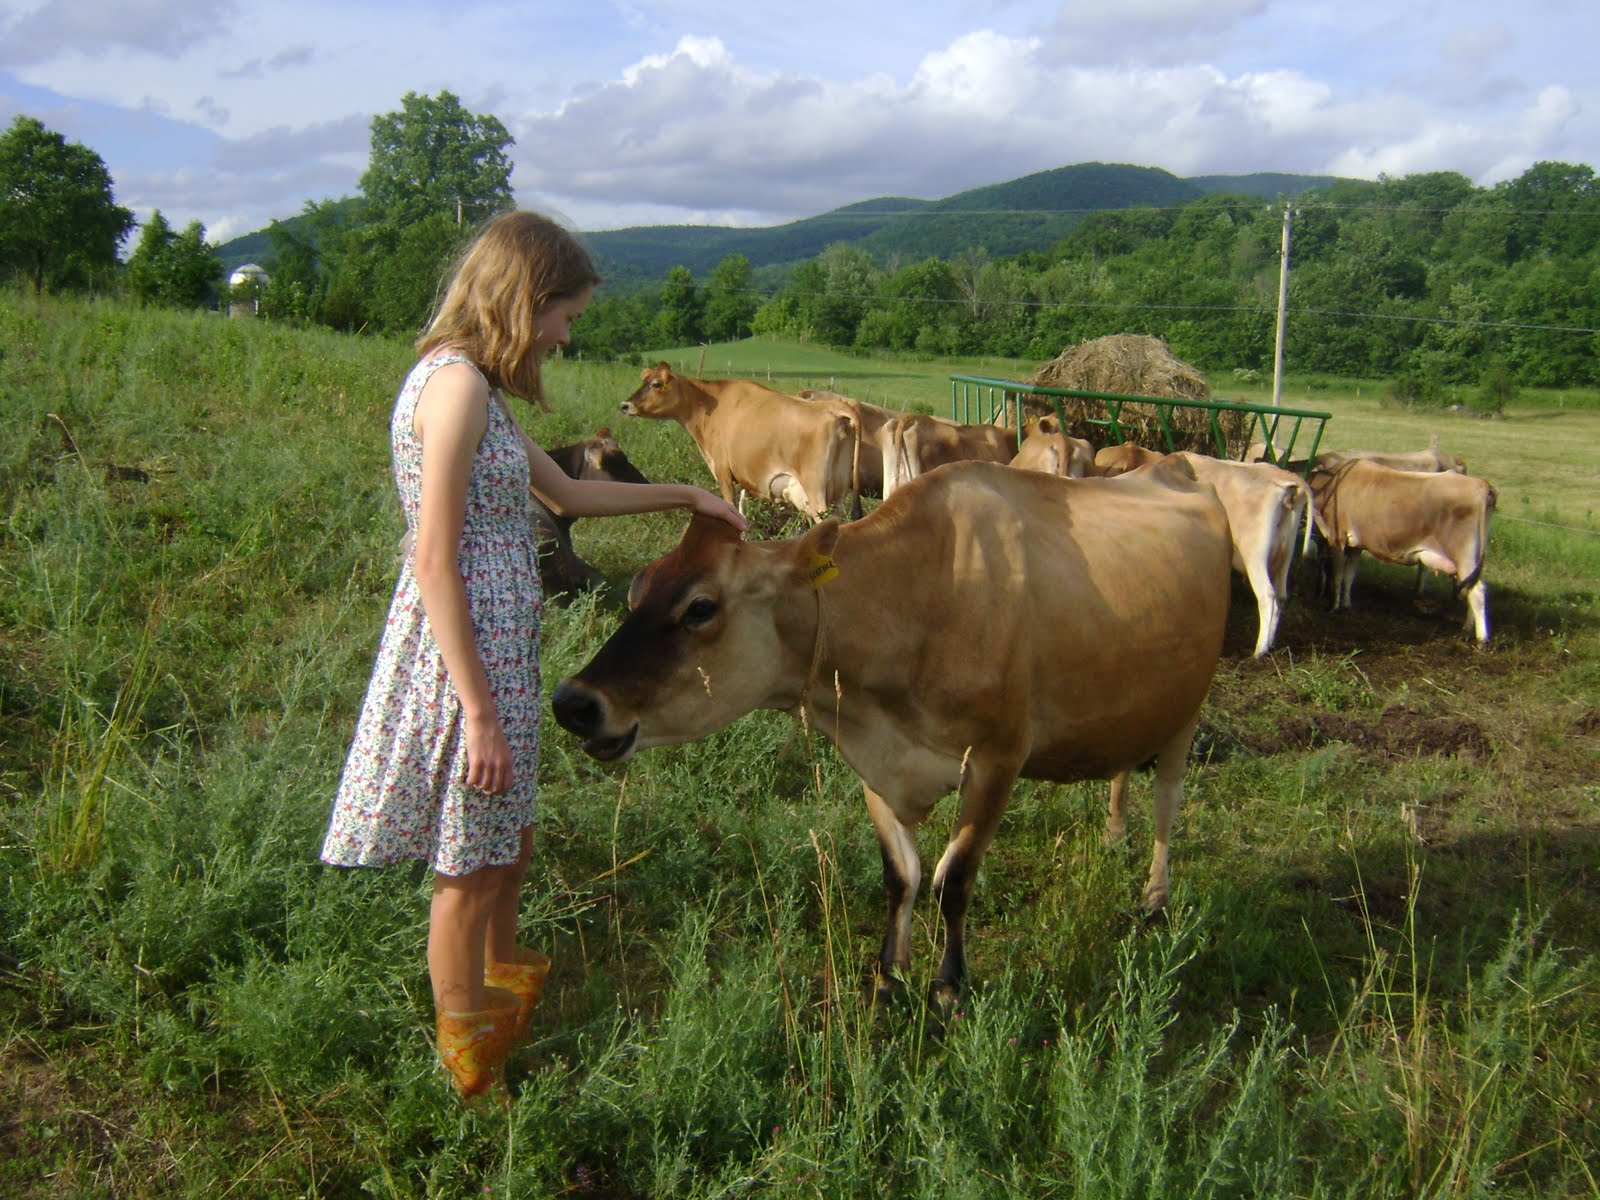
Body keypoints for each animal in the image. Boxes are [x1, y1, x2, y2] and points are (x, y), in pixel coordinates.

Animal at [551, 459, 1234, 1003]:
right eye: (638, 589)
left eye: (700, 607)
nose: (571, 702)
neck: (915, 600)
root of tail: (1176, 465)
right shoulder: (872, 760)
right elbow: (900, 874)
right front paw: (887, 975)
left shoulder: (999, 757)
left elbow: (954, 879)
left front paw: (948, 986)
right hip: (1137, 702)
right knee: (1123, 768)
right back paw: (1114, 837)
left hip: (1188, 705)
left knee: (1168, 798)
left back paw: (1154, 897)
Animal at [622, 365, 861, 521]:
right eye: (644, 380)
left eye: (656, 384)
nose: (625, 405)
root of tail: (833, 407)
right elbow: (742, 510)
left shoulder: (722, 471)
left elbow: (730, 507)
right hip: (839, 491)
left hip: (816, 489)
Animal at [1171, 452, 1313, 657]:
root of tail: (1284, 477)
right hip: (1285, 551)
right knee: (1280, 595)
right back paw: (1270, 643)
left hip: (1255, 553)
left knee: (1267, 595)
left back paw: (1259, 651)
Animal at [1306, 459, 1497, 646]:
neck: (1334, 483)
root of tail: (1481, 484)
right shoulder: (1356, 546)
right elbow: (1349, 575)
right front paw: (1346, 605)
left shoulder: (1336, 537)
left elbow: (1337, 575)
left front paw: (1334, 607)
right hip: (1472, 561)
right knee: (1472, 589)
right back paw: (1466, 629)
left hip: (1464, 557)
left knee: (1477, 592)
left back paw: (1481, 639)